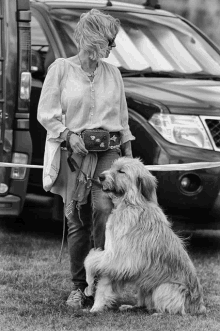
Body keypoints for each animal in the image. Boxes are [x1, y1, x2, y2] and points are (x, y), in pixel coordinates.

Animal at [84, 158, 206, 316]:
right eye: (112, 167)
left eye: (121, 171)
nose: (100, 176)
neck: (131, 203)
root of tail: (198, 306)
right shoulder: (113, 256)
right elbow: (101, 276)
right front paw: (97, 305)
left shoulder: (120, 258)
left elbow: (90, 260)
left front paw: (90, 285)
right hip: (144, 283)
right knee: (145, 304)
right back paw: (131, 306)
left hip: (164, 288)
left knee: (174, 310)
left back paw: (159, 313)